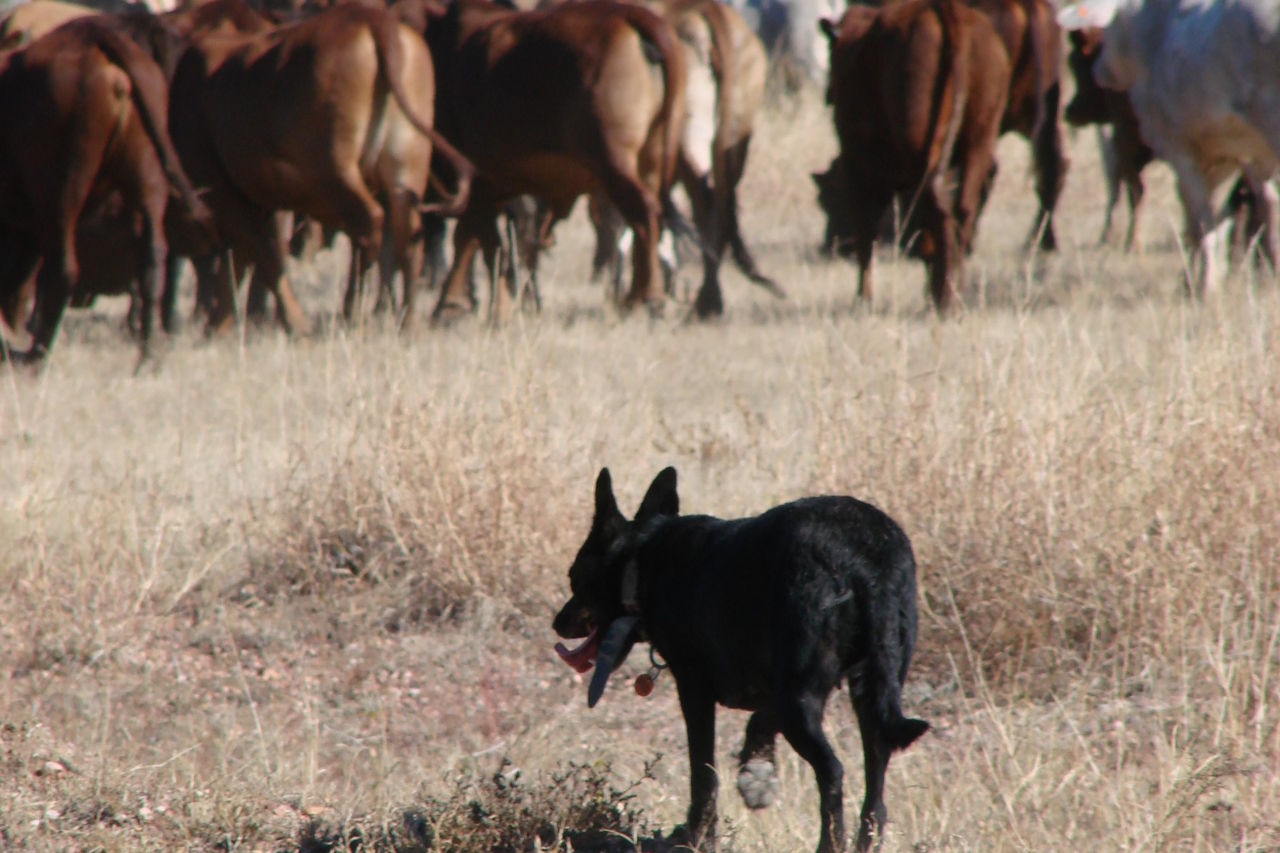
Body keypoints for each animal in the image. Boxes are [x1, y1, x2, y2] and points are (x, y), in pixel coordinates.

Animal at [0, 14, 212, 363]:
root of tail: (96, 39)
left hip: (64, 186)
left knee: (63, 270)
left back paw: (35, 358)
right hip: (146, 176)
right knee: (153, 262)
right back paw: (148, 357)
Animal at [166, 1, 472, 333]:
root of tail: (372, 19)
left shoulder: (221, 190)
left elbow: (262, 254)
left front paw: (293, 324)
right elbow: (246, 258)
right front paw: (220, 323)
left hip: (335, 169)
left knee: (369, 225)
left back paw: (353, 314)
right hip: (406, 164)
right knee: (407, 235)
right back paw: (408, 322)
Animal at [414, 0, 687, 321]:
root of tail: (628, 14)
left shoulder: (476, 179)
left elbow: (470, 237)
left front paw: (451, 305)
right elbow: (478, 238)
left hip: (614, 163)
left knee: (643, 214)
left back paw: (646, 298)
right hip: (650, 160)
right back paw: (635, 296)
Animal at [818, 0, 1010, 311]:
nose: (828, 93)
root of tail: (944, 11)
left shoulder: (859, 167)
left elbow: (865, 230)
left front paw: (863, 298)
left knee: (937, 208)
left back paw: (945, 298)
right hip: (978, 141)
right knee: (962, 210)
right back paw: (953, 291)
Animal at [1063, 0, 1280, 296]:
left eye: (1105, 32)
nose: (1099, 70)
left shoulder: (1179, 150)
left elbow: (1201, 219)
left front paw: (1204, 284)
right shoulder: (1227, 155)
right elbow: (1217, 217)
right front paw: (1202, 277)